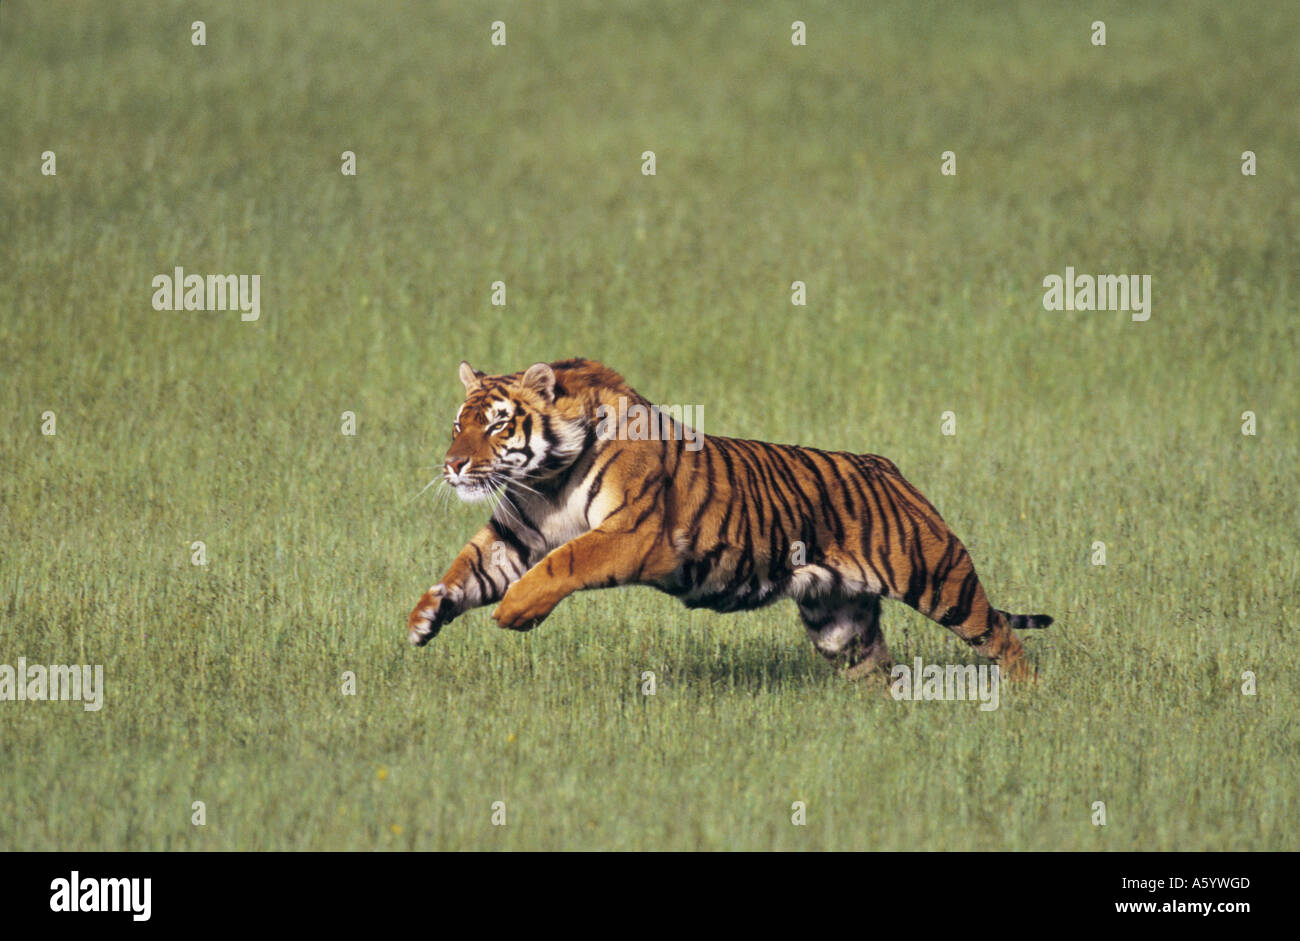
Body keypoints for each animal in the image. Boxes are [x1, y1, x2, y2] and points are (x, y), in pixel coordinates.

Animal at [407, 358, 1053, 680]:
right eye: (458, 424)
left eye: (497, 424)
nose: (452, 465)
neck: (547, 477)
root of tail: (887, 466)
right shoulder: (517, 531)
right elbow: (468, 567)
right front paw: (424, 616)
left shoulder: (635, 533)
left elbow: (566, 560)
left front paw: (517, 611)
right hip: (838, 622)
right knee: (877, 672)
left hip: (939, 577)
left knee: (1001, 636)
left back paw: (1025, 700)